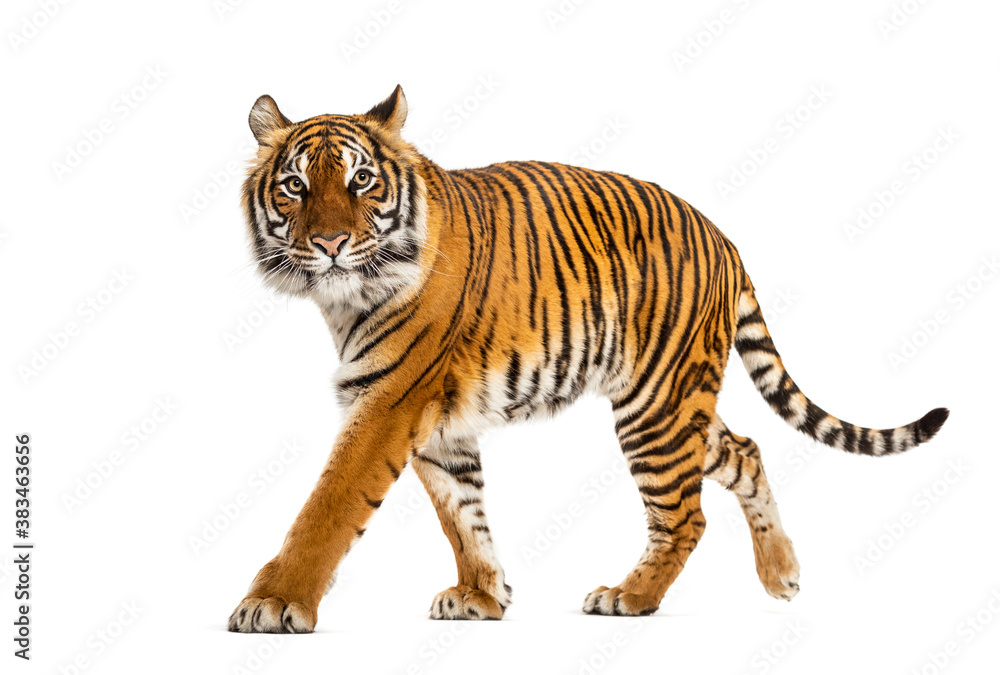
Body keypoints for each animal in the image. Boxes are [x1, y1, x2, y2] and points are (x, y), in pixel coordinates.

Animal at [227, 85, 949, 633]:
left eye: (362, 181)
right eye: (294, 185)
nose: (329, 243)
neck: (343, 299)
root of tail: (723, 235)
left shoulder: (390, 401)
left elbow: (329, 506)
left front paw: (275, 602)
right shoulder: (437, 422)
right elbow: (463, 514)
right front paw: (484, 596)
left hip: (655, 403)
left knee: (684, 514)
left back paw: (631, 596)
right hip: (682, 402)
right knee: (745, 450)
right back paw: (781, 575)